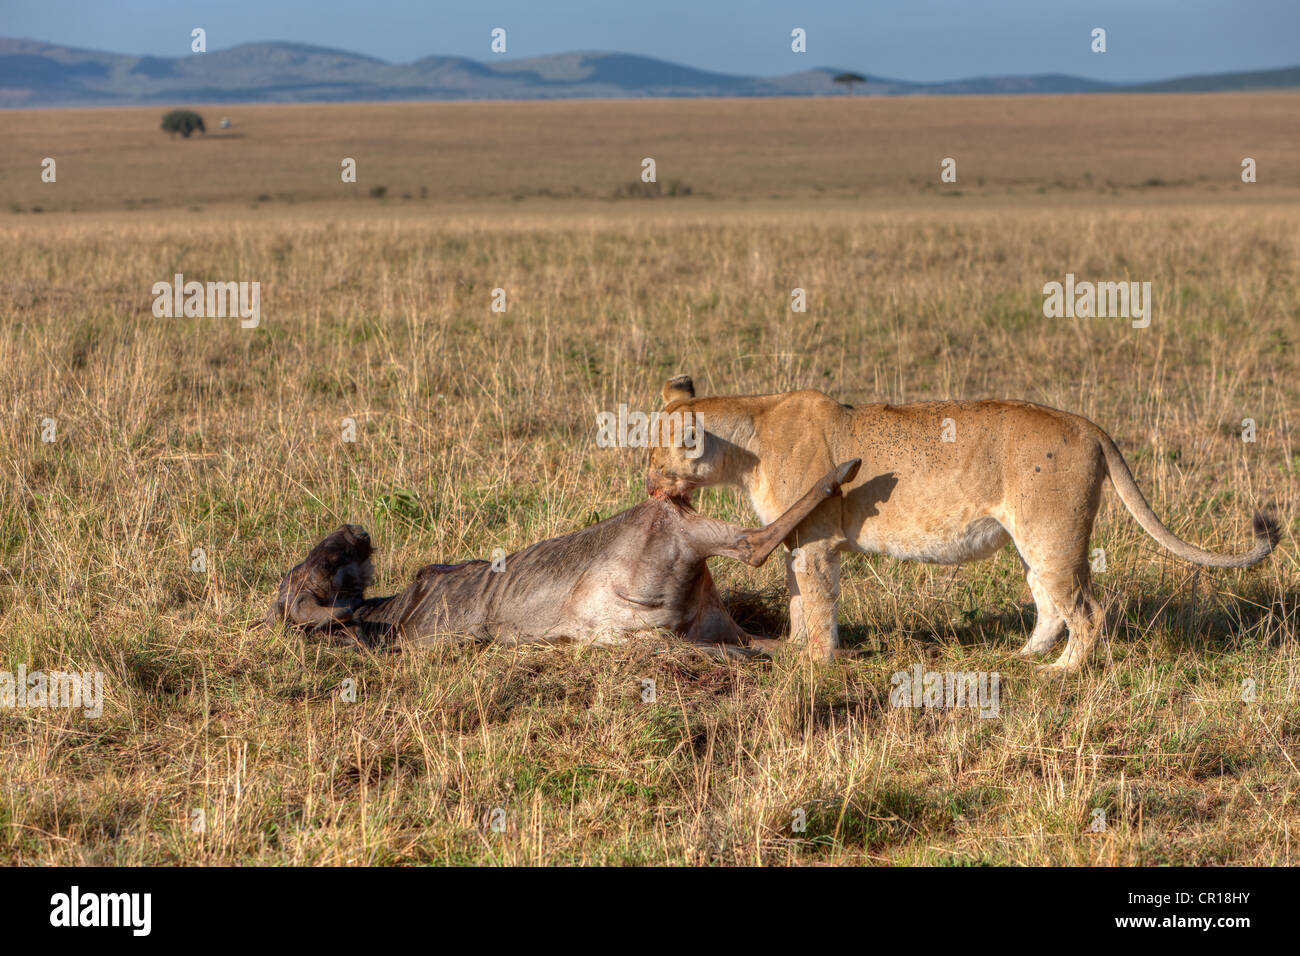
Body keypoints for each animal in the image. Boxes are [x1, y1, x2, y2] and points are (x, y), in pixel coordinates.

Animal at [645, 376, 1280, 672]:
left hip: (1053, 535)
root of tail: (1088, 424)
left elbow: (819, 603)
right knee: (1049, 603)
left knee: (1087, 610)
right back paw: (1021, 659)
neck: (745, 443)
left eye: (654, 460)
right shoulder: (797, 542)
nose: (648, 488)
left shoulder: (819, 540)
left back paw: (1061, 672)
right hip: (1031, 540)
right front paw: (798, 650)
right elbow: (800, 600)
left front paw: (817, 662)